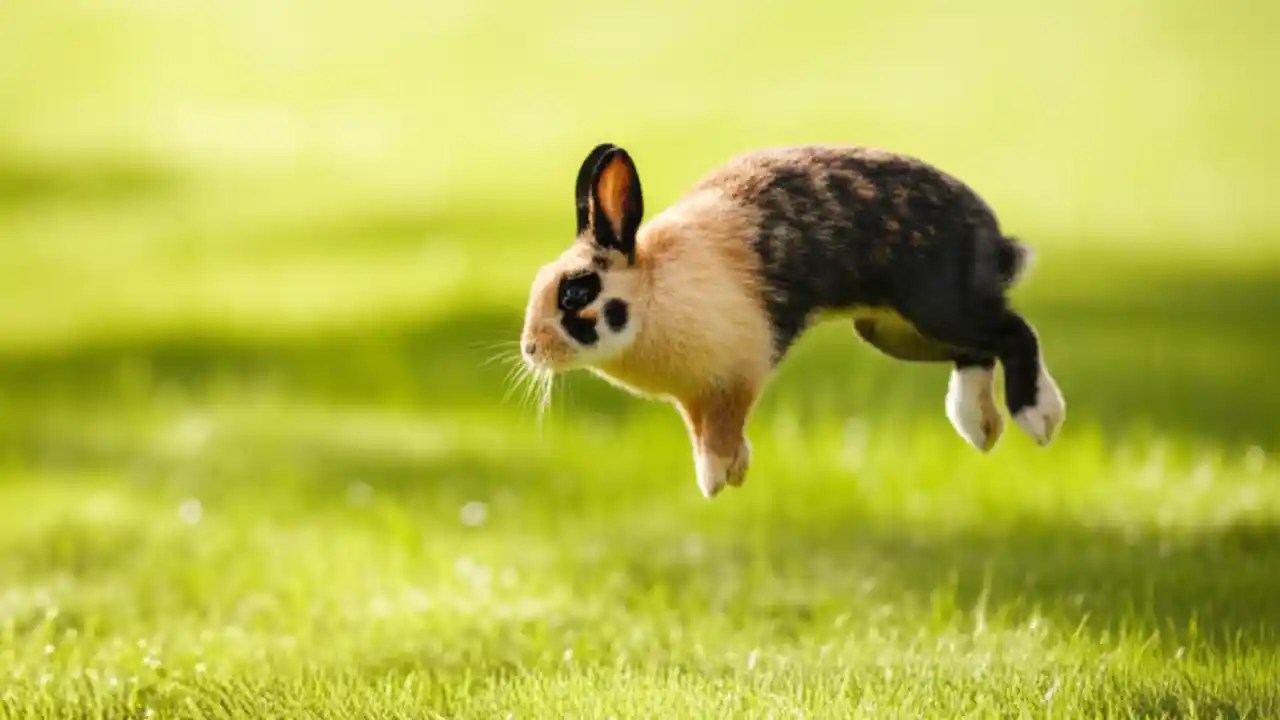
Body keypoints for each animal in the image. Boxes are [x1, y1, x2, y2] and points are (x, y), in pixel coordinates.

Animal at [520, 142, 1065, 498]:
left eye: (576, 290)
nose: (530, 348)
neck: (653, 290)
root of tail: (992, 238)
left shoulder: (738, 370)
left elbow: (722, 428)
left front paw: (717, 479)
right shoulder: (694, 396)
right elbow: (702, 431)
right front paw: (732, 472)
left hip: (935, 306)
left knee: (1014, 332)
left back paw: (1038, 417)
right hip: (894, 331)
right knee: (980, 350)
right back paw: (980, 425)